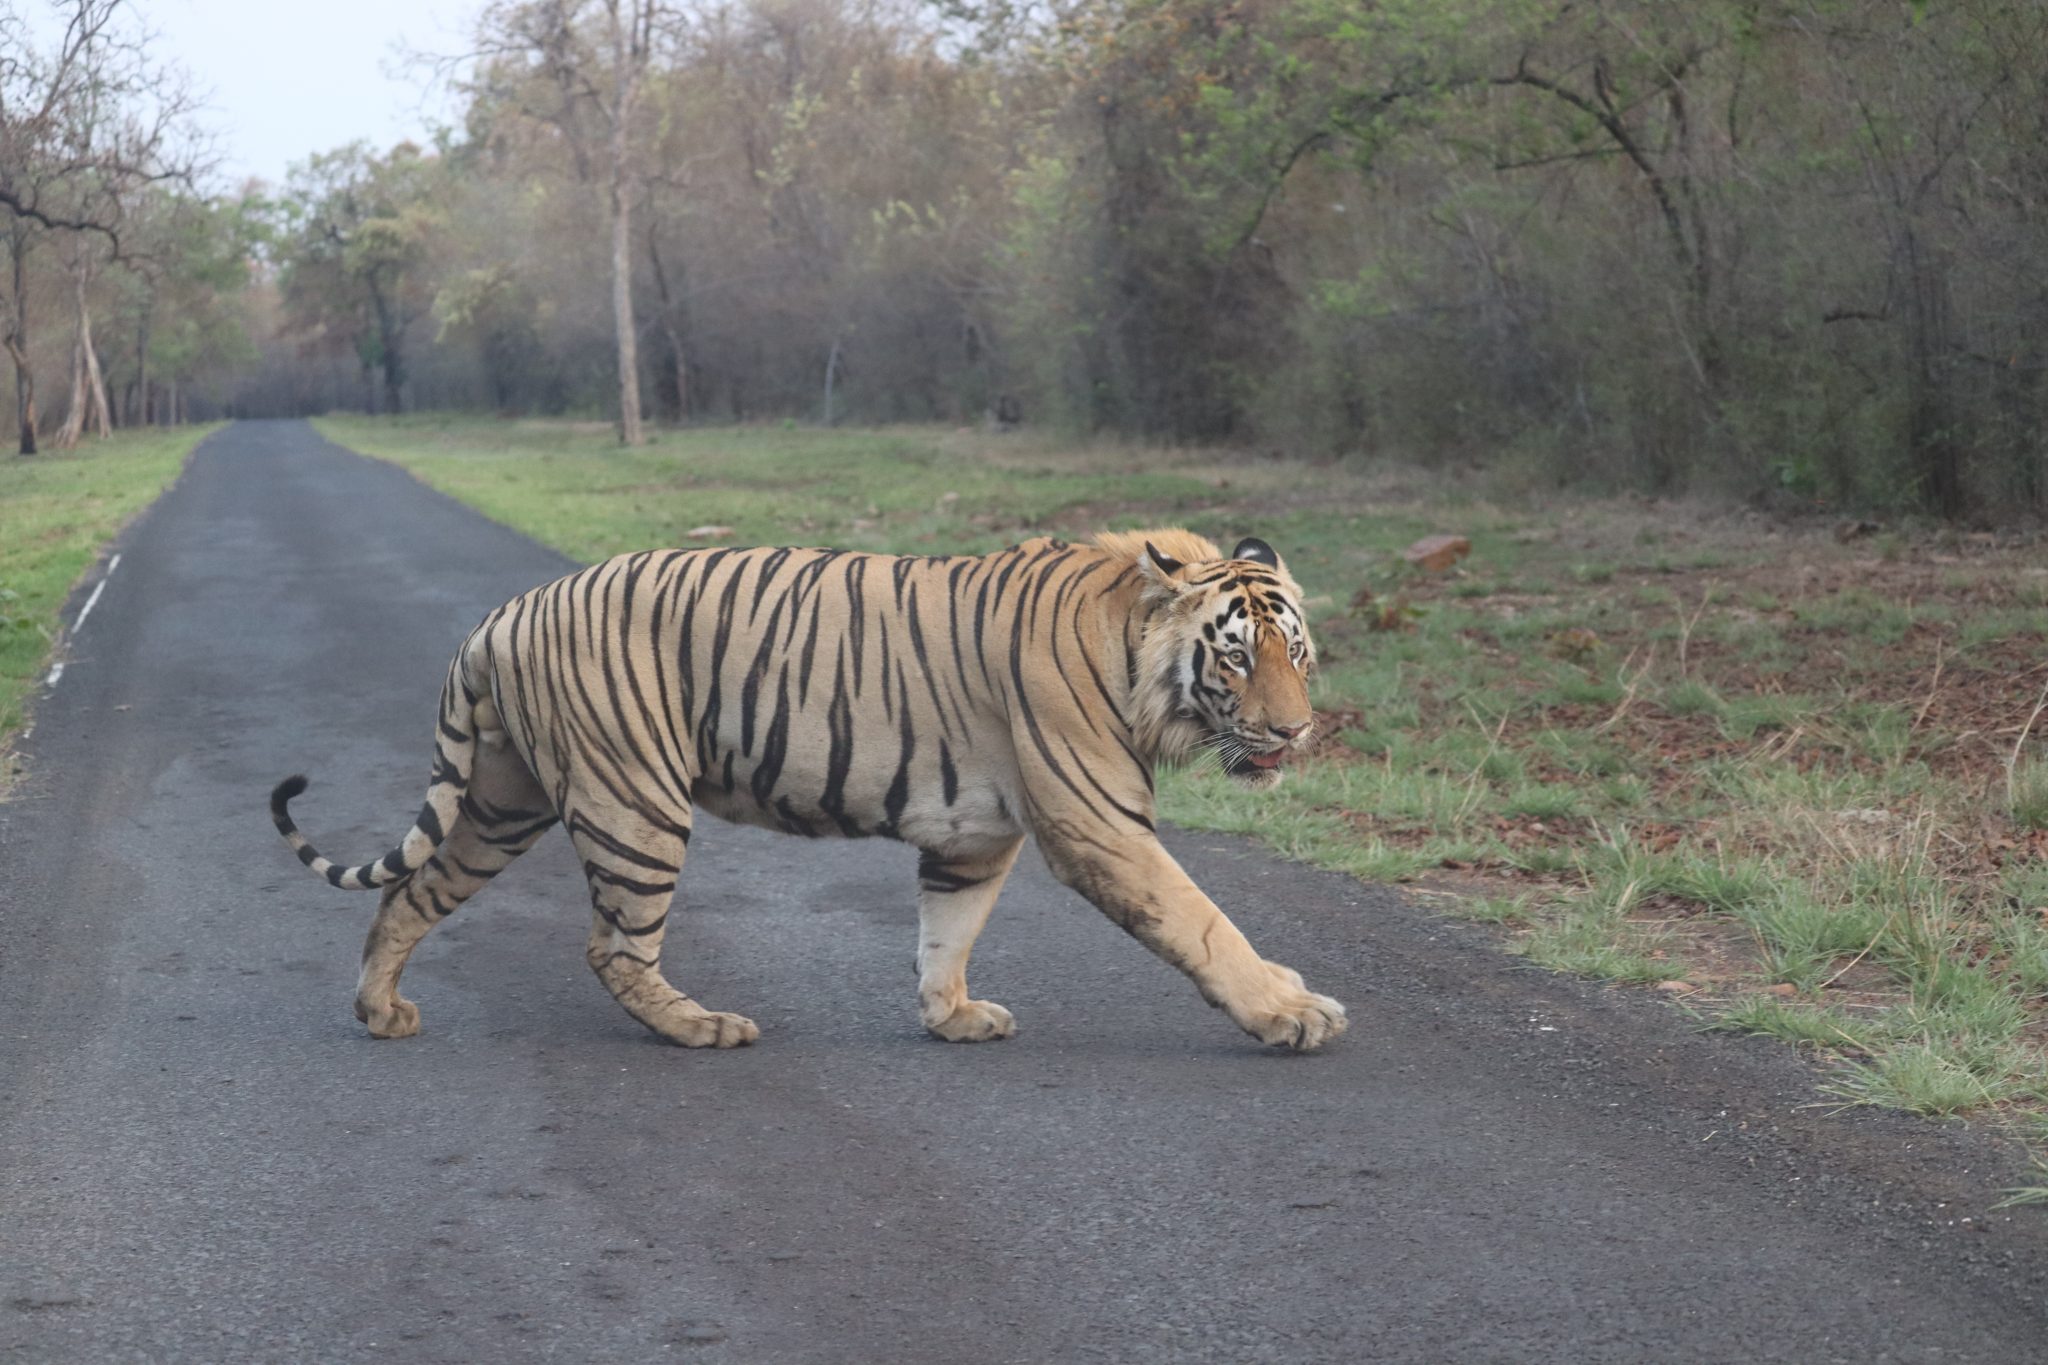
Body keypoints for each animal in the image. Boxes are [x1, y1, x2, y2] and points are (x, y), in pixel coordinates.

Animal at [269, 528, 1347, 1052]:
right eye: (1236, 659)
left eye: (1294, 653)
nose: (1295, 730)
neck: (1130, 644)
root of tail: (501, 614)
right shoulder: (1102, 828)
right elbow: (1204, 925)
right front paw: (1289, 1011)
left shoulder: (972, 835)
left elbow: (946, 931)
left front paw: (951, 1017)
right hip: (634, 803)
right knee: (613, 947)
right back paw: (702, 1028)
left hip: (504, 799)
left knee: (412, 894)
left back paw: (381, 1011)